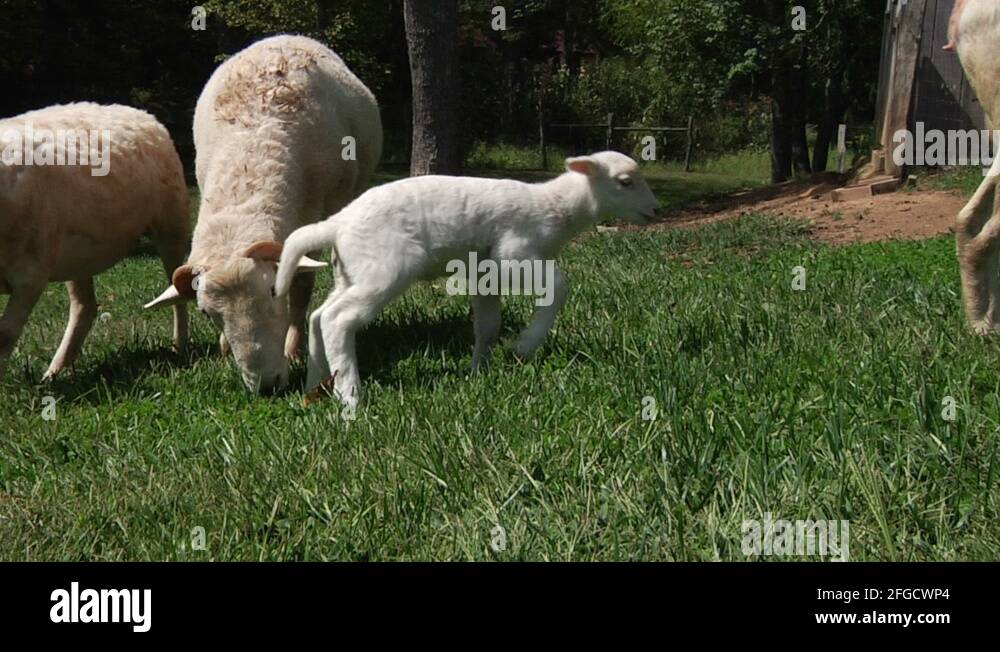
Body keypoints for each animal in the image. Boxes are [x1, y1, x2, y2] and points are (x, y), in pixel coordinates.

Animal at [0, 102, 189, 381]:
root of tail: (137, 112)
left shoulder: (30, 276)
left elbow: (4, 336)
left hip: (171, 224)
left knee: (178, 288)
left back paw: (180, 347)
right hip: (79, 258)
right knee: (85, 307)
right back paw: (56, 370)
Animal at [144, 35, 383, 394]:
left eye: (272, 290)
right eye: (206, 313)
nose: (266, 385)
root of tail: (284, 36)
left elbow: (302, 285)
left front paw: (296, 350)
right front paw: (225, 348)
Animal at [273, 151, 660, 407]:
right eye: (625, 182)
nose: (655, 210)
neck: (555, 206)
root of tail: (337, 222)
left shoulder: (484, 272)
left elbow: (487, 325)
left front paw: (479, 372)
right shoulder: (513, 253)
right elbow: (559, 287)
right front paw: (524, 345)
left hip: (352, 270)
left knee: (319, 316)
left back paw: (316, 385)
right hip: (385, 268)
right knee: (338, 320)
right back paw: (351, 399)